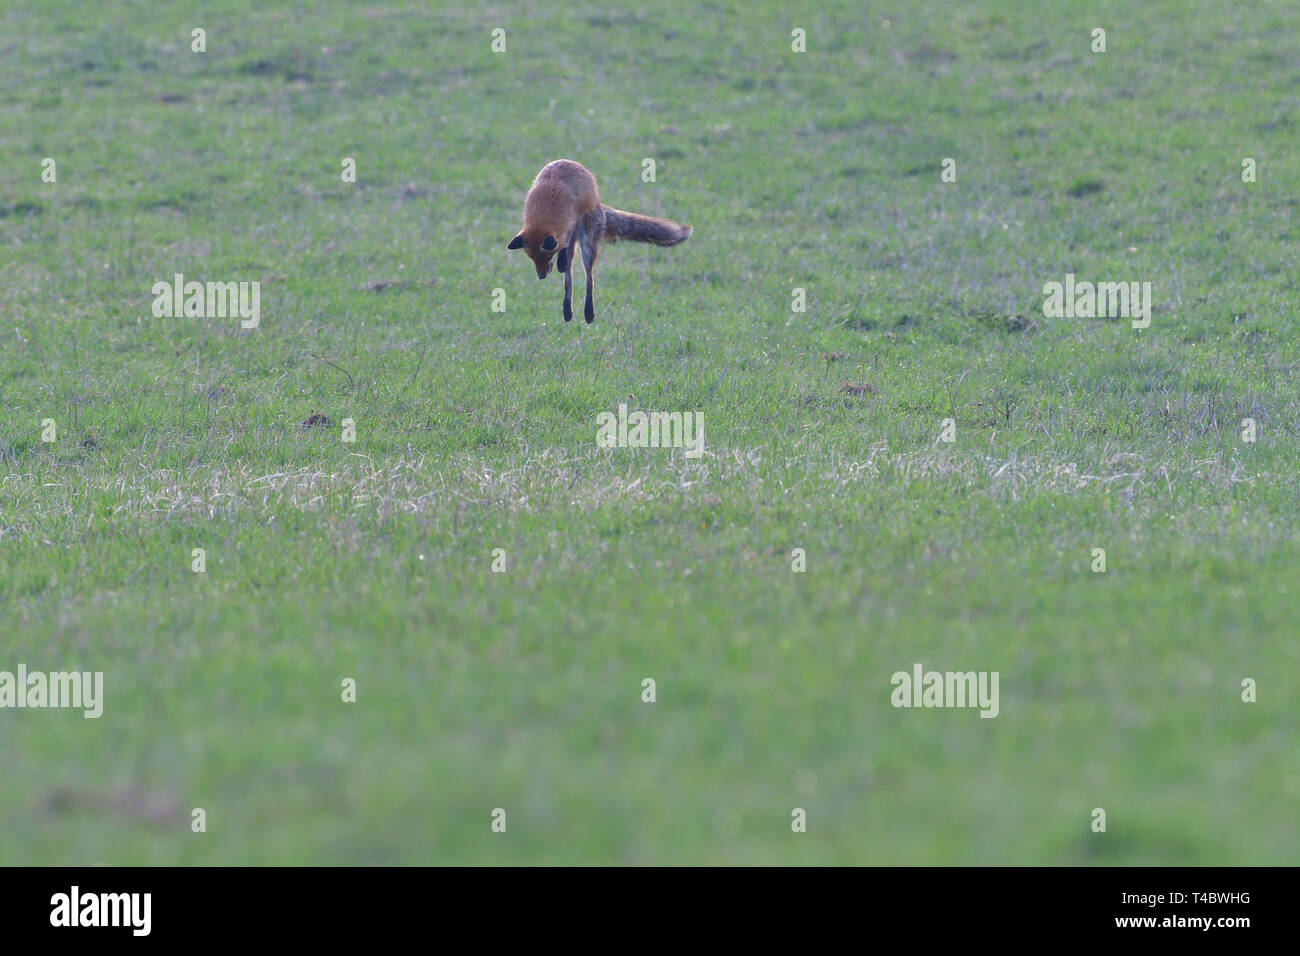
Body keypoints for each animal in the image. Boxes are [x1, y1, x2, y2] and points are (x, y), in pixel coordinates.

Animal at [506, 159, 692, 323]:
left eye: (546, 256)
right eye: (531, 258)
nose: (541, 276)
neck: (544, 211)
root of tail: (599, 205)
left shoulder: (569, 224)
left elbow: (566, 250)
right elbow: (565, 265)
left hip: (588, 245)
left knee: (589, 280)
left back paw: (588, 312)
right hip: (577, 250)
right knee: (568, 280)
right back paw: (567, 310)